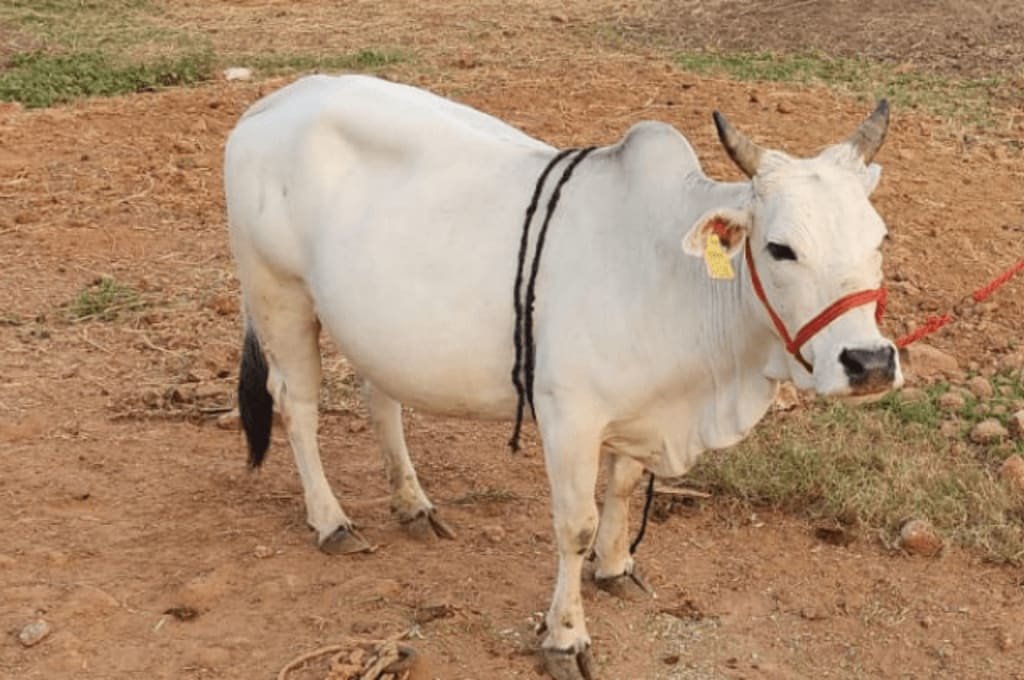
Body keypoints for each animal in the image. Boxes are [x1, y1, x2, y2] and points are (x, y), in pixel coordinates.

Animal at [224, 74, 901, 679]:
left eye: (879, 238)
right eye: (781, 248)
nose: (869, 362)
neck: (671, 275)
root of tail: (269, 105)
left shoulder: (639, 412)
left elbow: (621, 488)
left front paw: (616, 567)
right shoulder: (569, 416)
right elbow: (574, 525)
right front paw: (565, 637)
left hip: (375, 327)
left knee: (379, 398)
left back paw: (412, 504)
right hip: (279, 297)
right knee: (296, 405)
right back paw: (330, 520)